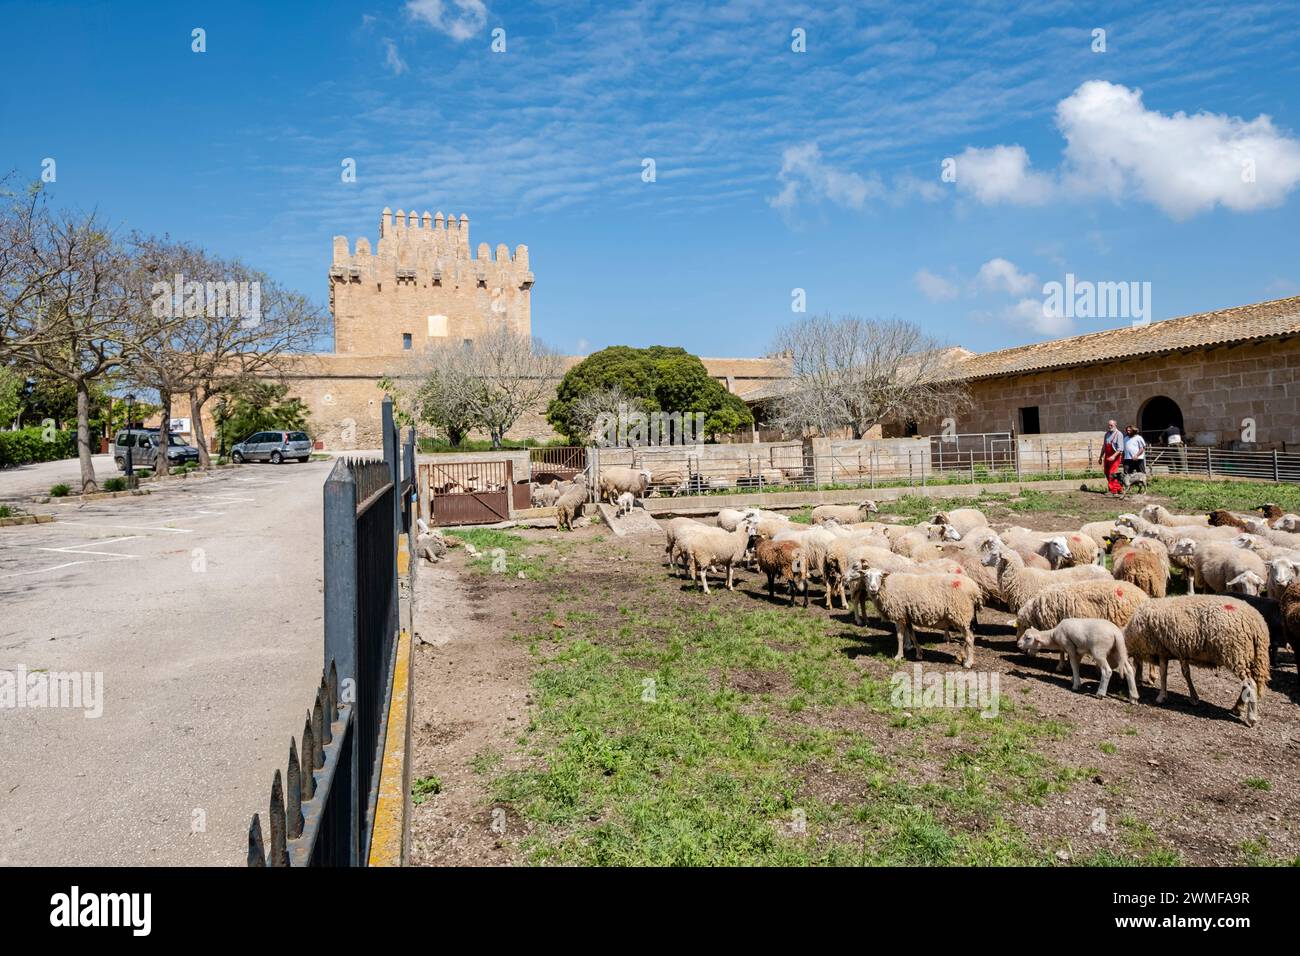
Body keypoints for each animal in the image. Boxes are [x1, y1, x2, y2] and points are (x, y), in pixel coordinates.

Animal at [850, 567, 982, 668]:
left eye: (880, 576)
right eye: (866, 576)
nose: (873, 588)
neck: (886, 586)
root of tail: (975, 589)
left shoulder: (899, 615)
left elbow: (900, 637)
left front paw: (898, 656)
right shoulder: (907, 615)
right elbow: (912, 635)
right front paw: (919, 653)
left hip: (961, 614)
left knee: (970, 639)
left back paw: (968, 663)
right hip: (962, 617)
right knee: (968, 638)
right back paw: (962, 656)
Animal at [1122, 596, 1270, 725]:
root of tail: (1258, 624)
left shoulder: (1161, 650)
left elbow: (1164, 674)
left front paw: (1161, 696)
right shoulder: (1179, 651)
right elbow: (1186, 674)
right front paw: (1194, 698)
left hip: (1237, 653)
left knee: (1251, 684)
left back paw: (1251, 718)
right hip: (1249, 658)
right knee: (1247, 685)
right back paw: (1237, 708)